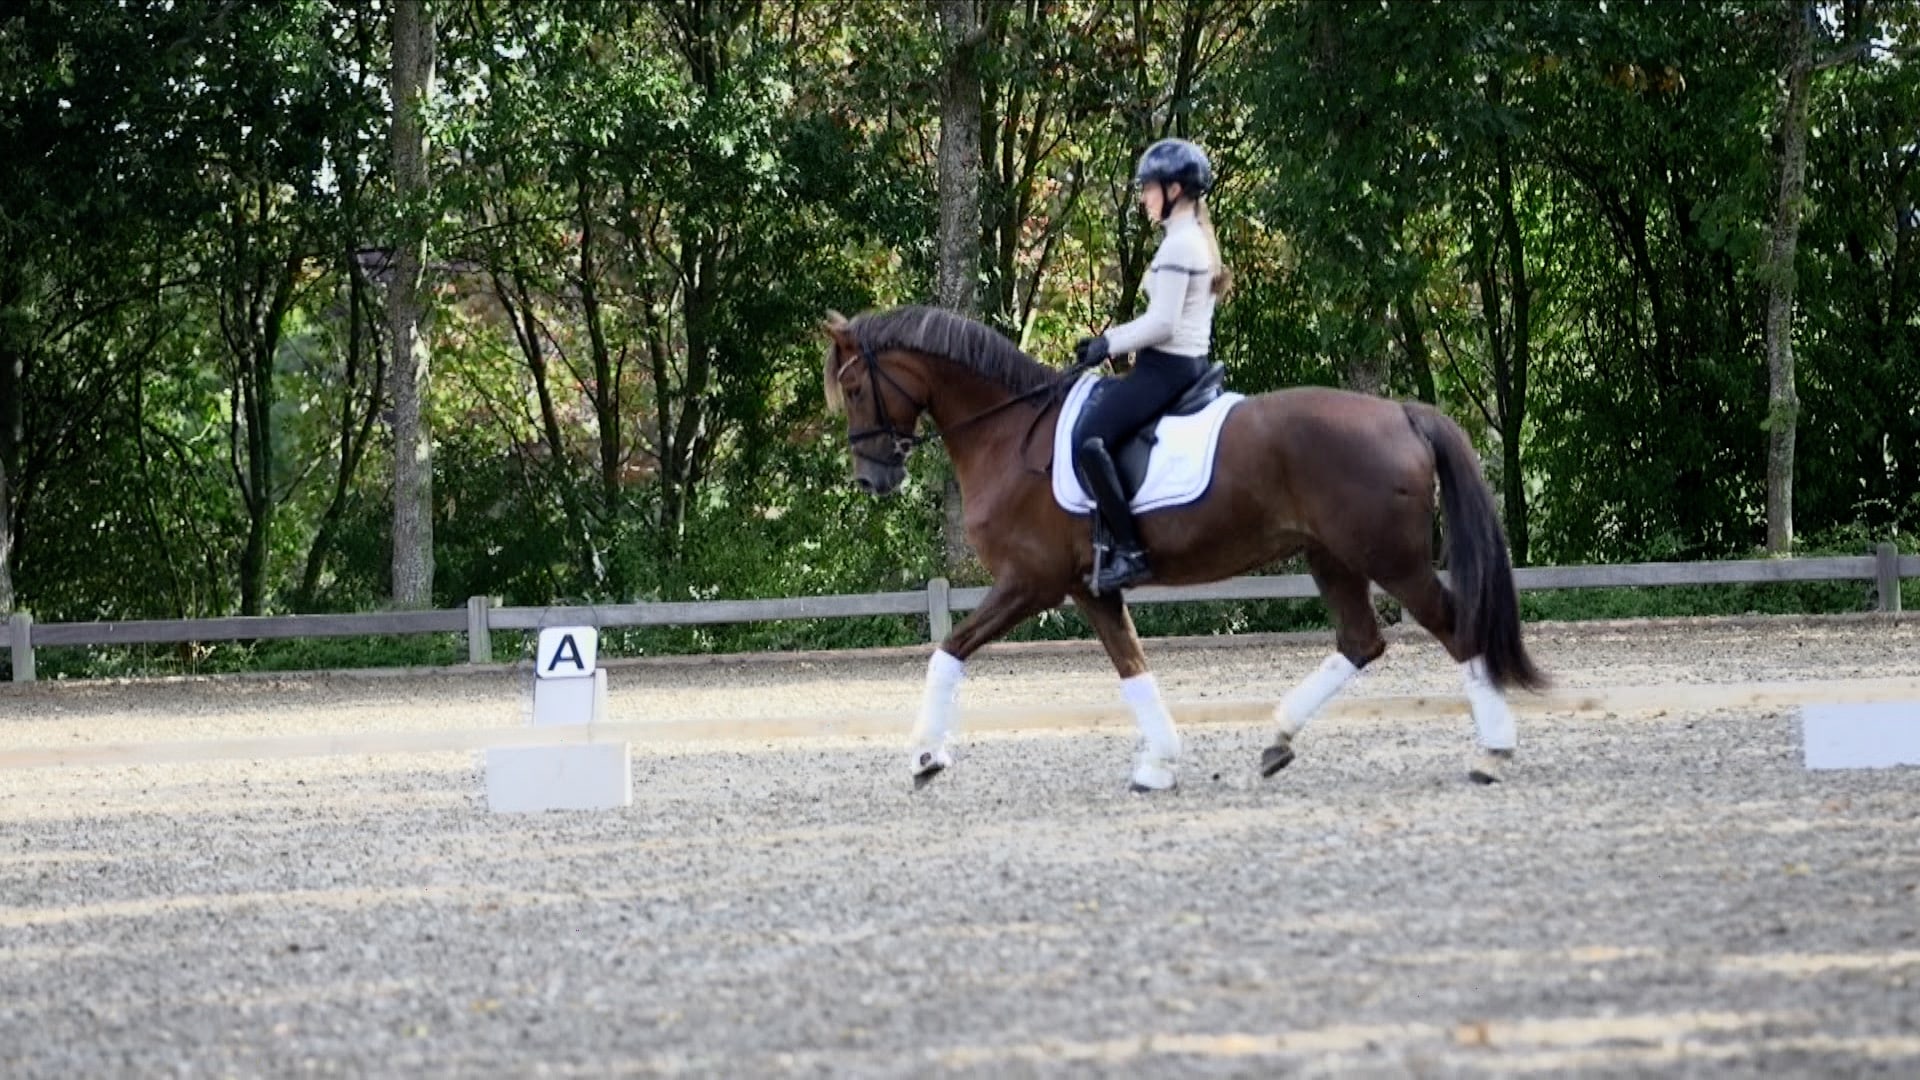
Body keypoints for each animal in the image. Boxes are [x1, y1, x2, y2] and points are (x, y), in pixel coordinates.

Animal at [821, 304, 1545, 792]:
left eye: (854, 388)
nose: (871, 478)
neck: (1008, 431)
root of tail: (1400, 412)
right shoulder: (1088, 587)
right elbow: (1133, 667)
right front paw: (1159, 764)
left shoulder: (1031, 581)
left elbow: (948, 650)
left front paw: (926, 757)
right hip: (1331, 556)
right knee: (1361, 641)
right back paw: (1276, 740)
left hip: (1390, 560)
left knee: (1454, 629)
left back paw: (1493, 752)